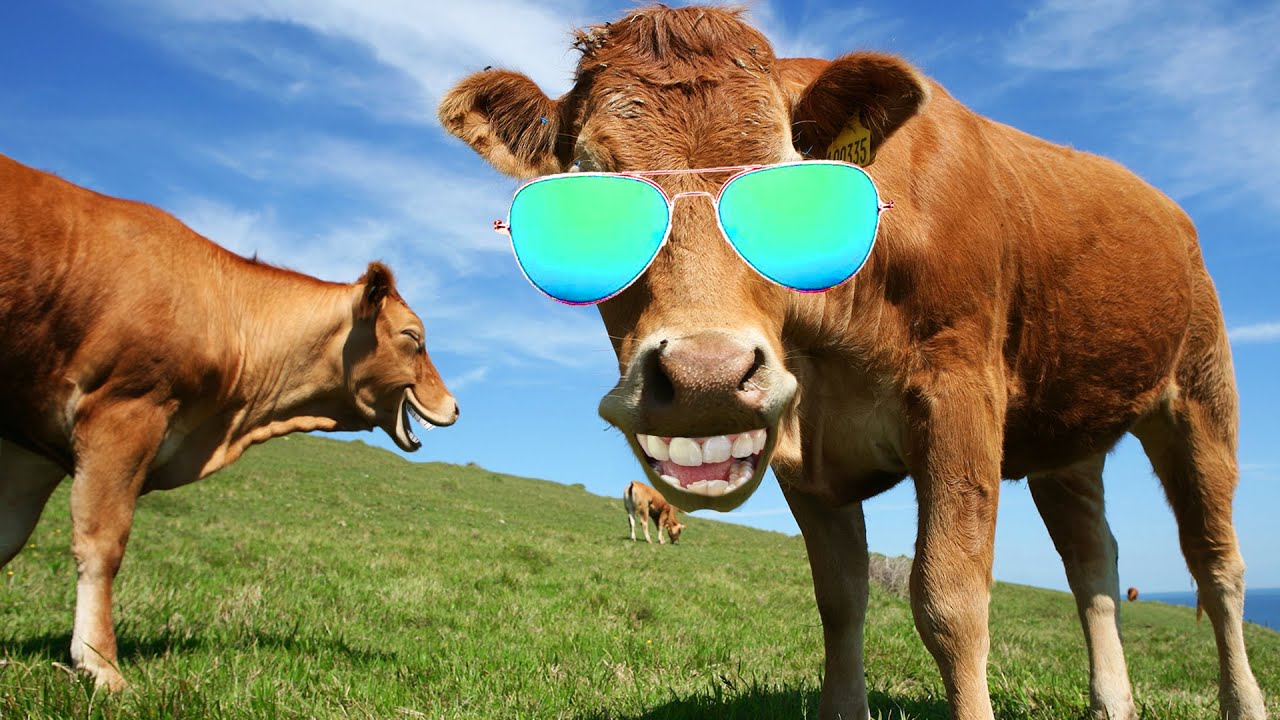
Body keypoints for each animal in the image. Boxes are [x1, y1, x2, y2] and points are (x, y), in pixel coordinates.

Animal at [0, 153, 459, 690]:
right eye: (413, 337)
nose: (454, 404)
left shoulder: (28, 447)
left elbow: (7, 538)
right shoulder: (124, 412)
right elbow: (102, 542)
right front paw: (101, 665)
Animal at [438, 6, 1267, 719]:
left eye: (788, 182)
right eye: (582, 198)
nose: (708, 376)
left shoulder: (960, 397)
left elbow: (949, 599)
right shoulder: (804, 449)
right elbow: (841, 598)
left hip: (1200, 395)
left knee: (1216, 565)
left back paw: (1243, 700)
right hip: (1068, 433)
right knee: (1092, 561)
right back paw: (1113, 701)